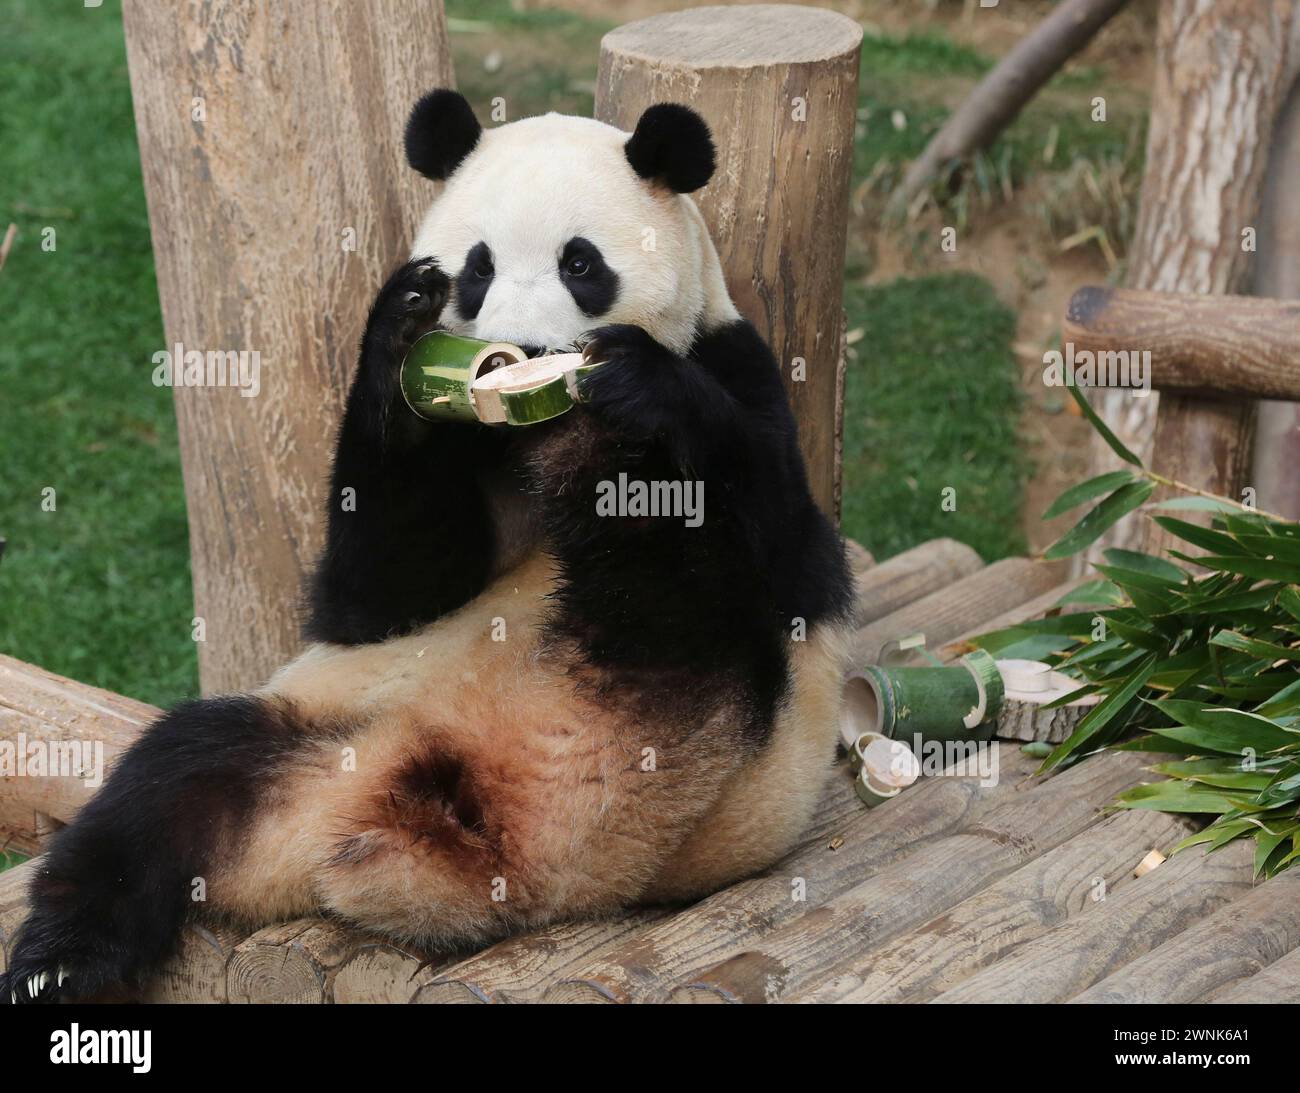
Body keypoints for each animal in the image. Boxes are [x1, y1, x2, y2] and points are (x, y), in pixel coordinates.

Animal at [2, 90, 853, 1003]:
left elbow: (788, 538)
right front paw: (404, 333)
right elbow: (378, 593)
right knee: (165, 787)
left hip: (712, 766)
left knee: (685, 603)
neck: (522, 435)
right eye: (475, 268)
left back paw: (602, 473)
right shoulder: (449, 474)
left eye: (580, 264)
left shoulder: (737, 366)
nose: (522, 347)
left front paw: (630, 387)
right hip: (318, 753)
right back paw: (56, 965)